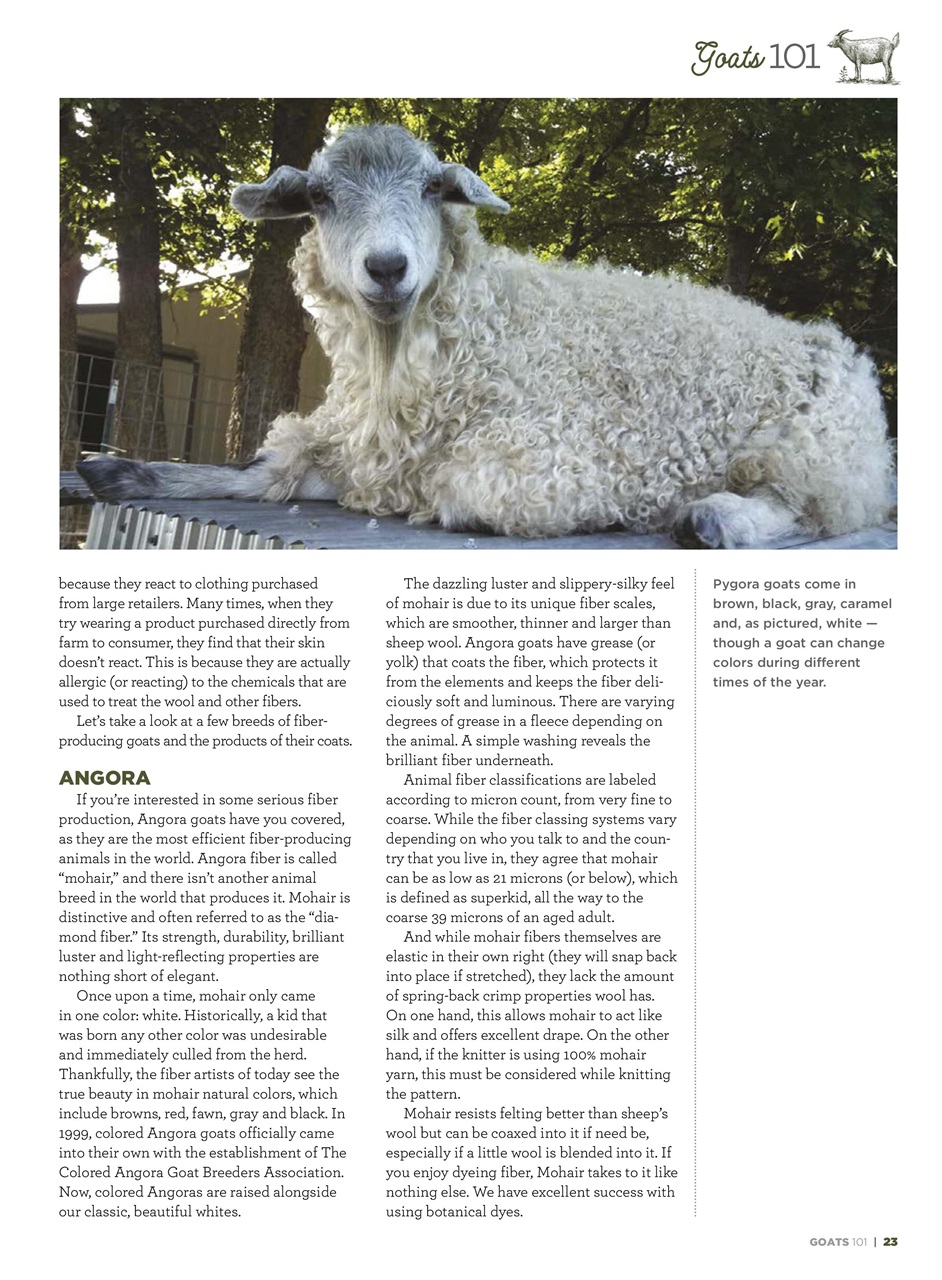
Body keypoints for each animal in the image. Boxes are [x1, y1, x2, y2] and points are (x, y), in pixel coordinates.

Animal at [78, 124, 894, 549]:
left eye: (432, 187)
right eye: (320, 196)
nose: (387, 267)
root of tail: (838, 346)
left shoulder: (547, 458)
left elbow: (458, 490)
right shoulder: (362, 449)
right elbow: (267, 471)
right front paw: (124, 472)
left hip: (812, 444)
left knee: (818, 512)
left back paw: (717, 516)